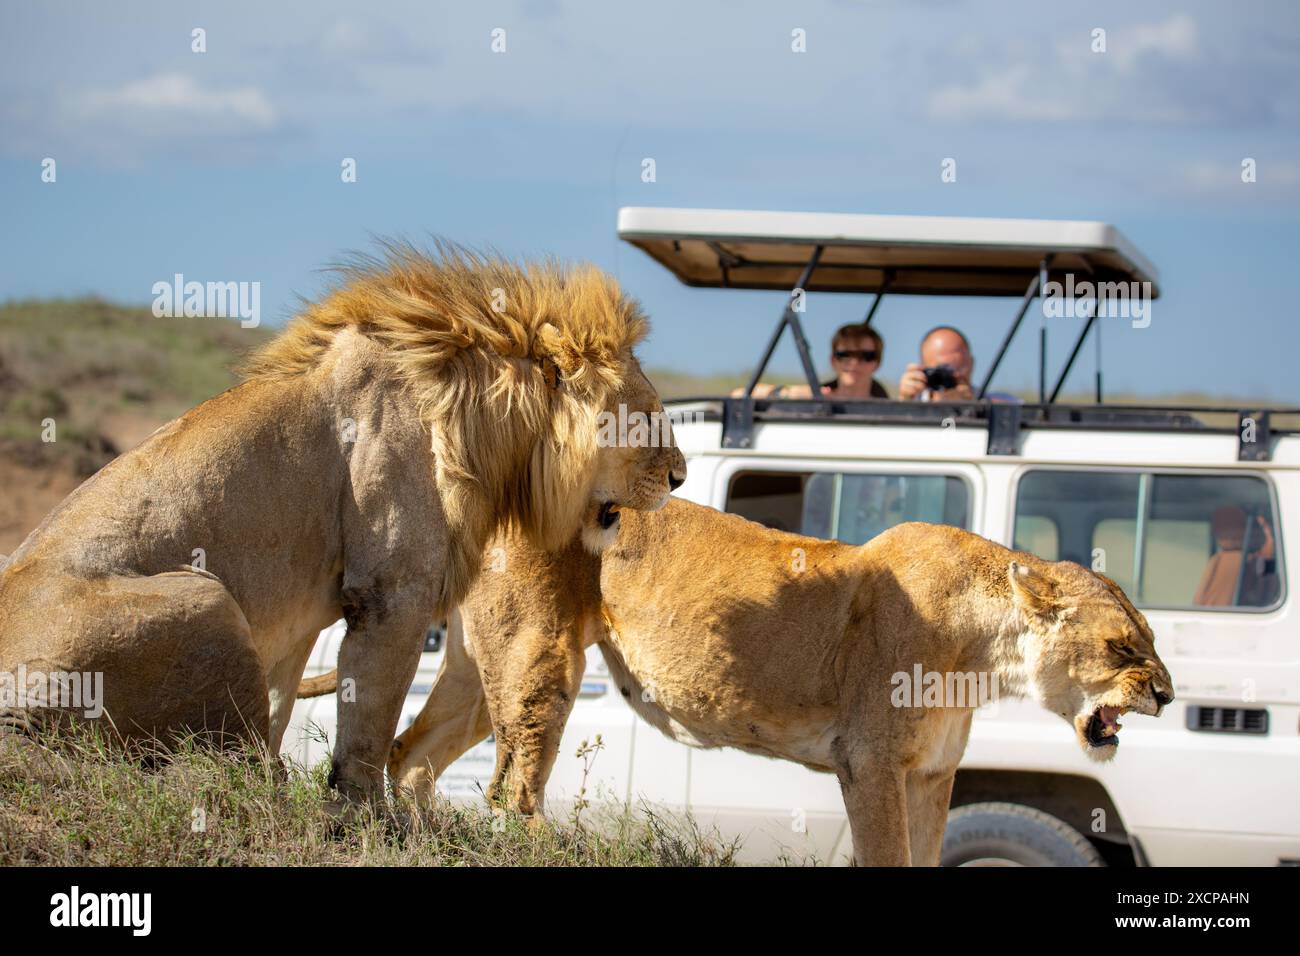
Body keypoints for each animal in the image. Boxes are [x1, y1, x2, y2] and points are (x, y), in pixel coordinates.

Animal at [0, 243, 686, 803]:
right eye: (649, 415)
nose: (680, 476)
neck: (481, 421)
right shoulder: (391, 596)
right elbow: (370, 726)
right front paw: (365, 817)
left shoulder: (301, 622)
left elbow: (280, 704)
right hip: (204, 594)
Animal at [328, 496, 1174, 864]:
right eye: (1123, 646)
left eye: (1153, 641)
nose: (1166, 693)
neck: (987, 658)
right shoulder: (870, 764)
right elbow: (889, 858)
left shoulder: (932, 776)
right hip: (542, 660)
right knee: (510, 792)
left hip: (479, 671)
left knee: (412, 758)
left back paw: (420, 840)